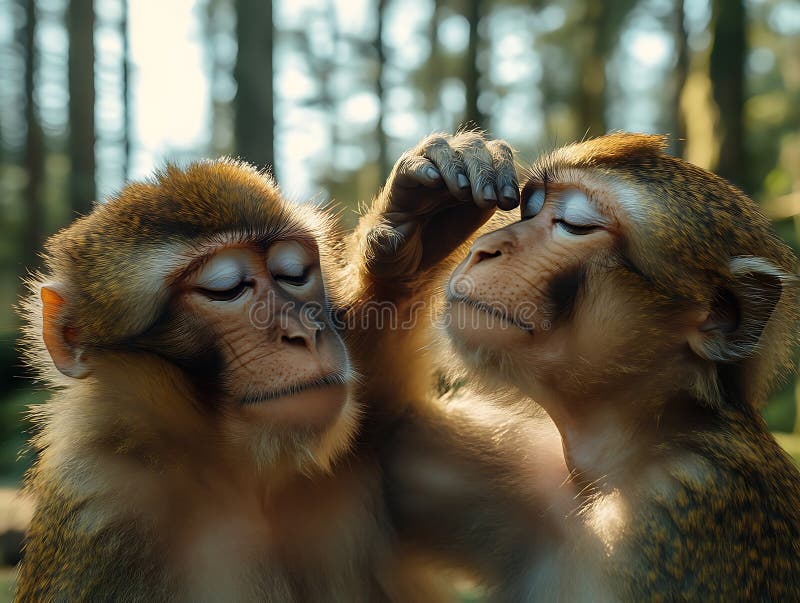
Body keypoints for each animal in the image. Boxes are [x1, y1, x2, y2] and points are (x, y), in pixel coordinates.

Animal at [352, 132, 800, 600]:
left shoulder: (681, 509)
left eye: (576, 225)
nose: (484, 249)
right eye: (531, 208)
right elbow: (387, 434)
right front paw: (420, 214)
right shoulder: (527, 465)